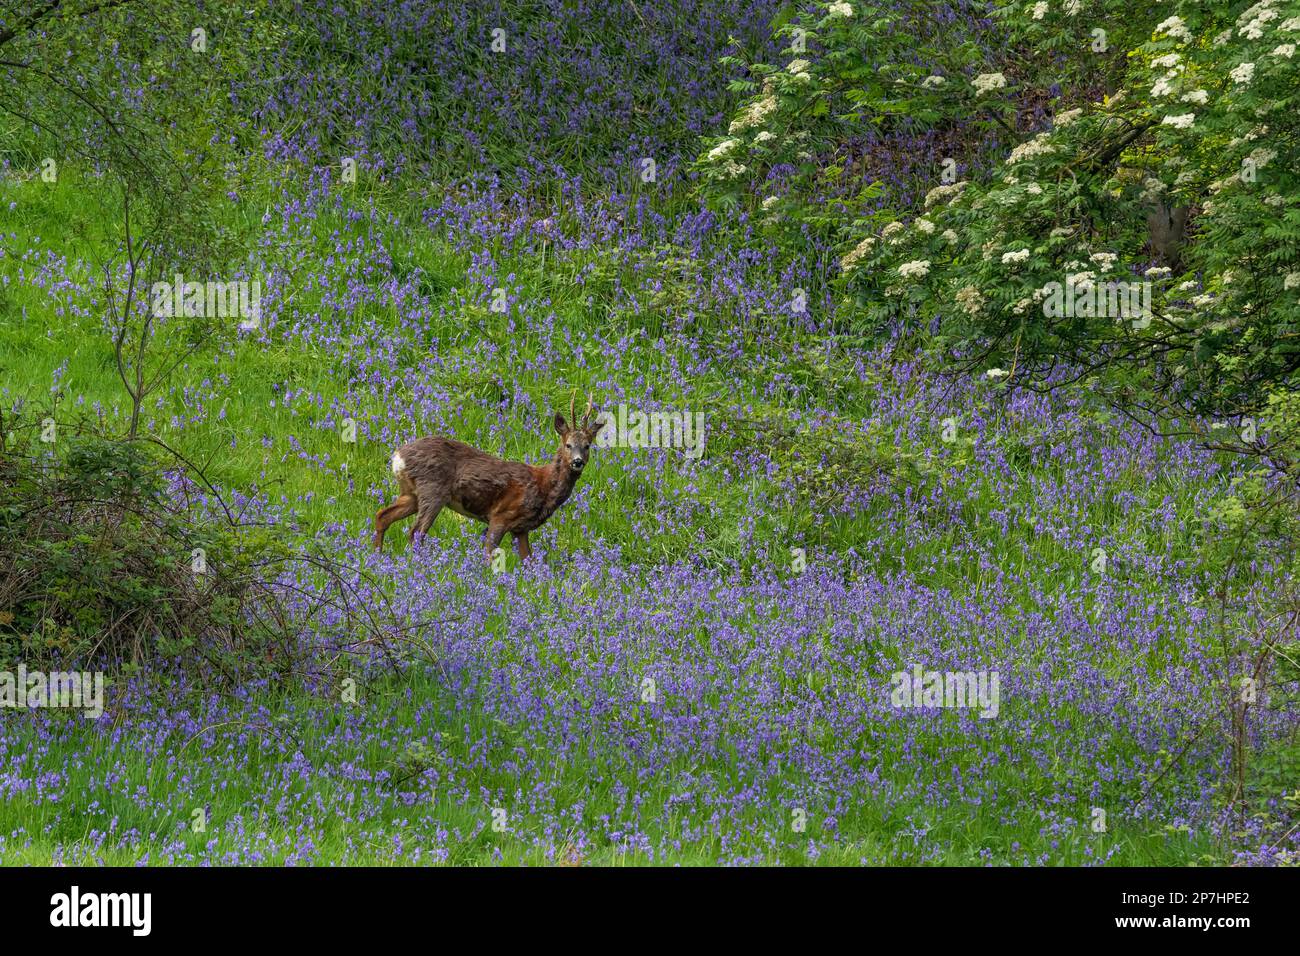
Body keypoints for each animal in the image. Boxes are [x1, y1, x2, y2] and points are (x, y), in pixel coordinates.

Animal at [373, 393, 605, 561]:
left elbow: (528, 561)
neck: (543, 485)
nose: (577, 461)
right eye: (568, 445)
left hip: (411, 493)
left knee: (382, 515)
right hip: (433, 490)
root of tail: (398, 457)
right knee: (416, 532)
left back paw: (378, 558)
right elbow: (488, 554)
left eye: (587, 446)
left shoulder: (521, 528)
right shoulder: (500, 515)